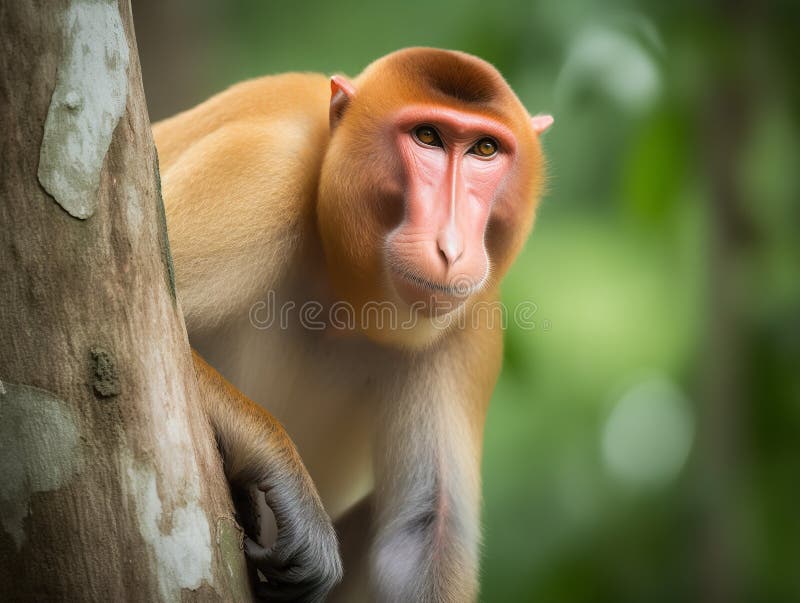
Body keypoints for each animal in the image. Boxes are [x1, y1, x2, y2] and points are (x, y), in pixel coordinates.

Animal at [153, 47, 552, 602]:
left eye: (486, 149)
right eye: (427, 136)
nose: (451, 248)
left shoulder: (471, 320)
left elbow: (423, 535)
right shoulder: (260, 174)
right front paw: (281, 469)